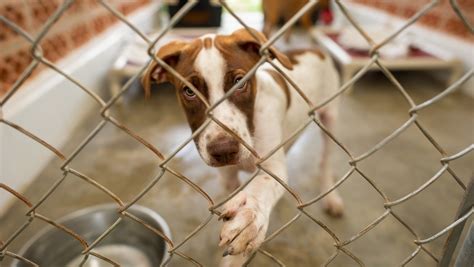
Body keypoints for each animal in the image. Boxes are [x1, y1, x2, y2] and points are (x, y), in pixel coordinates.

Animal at [142, 28, 344, 266]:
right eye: (189, 92)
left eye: (240, 82)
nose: (223, 150)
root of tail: (314, 49)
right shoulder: (228, 177)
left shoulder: (272, 167)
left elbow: (262, 186)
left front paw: (250, 216)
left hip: (330, 117)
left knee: (326, 160)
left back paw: (330, 197)